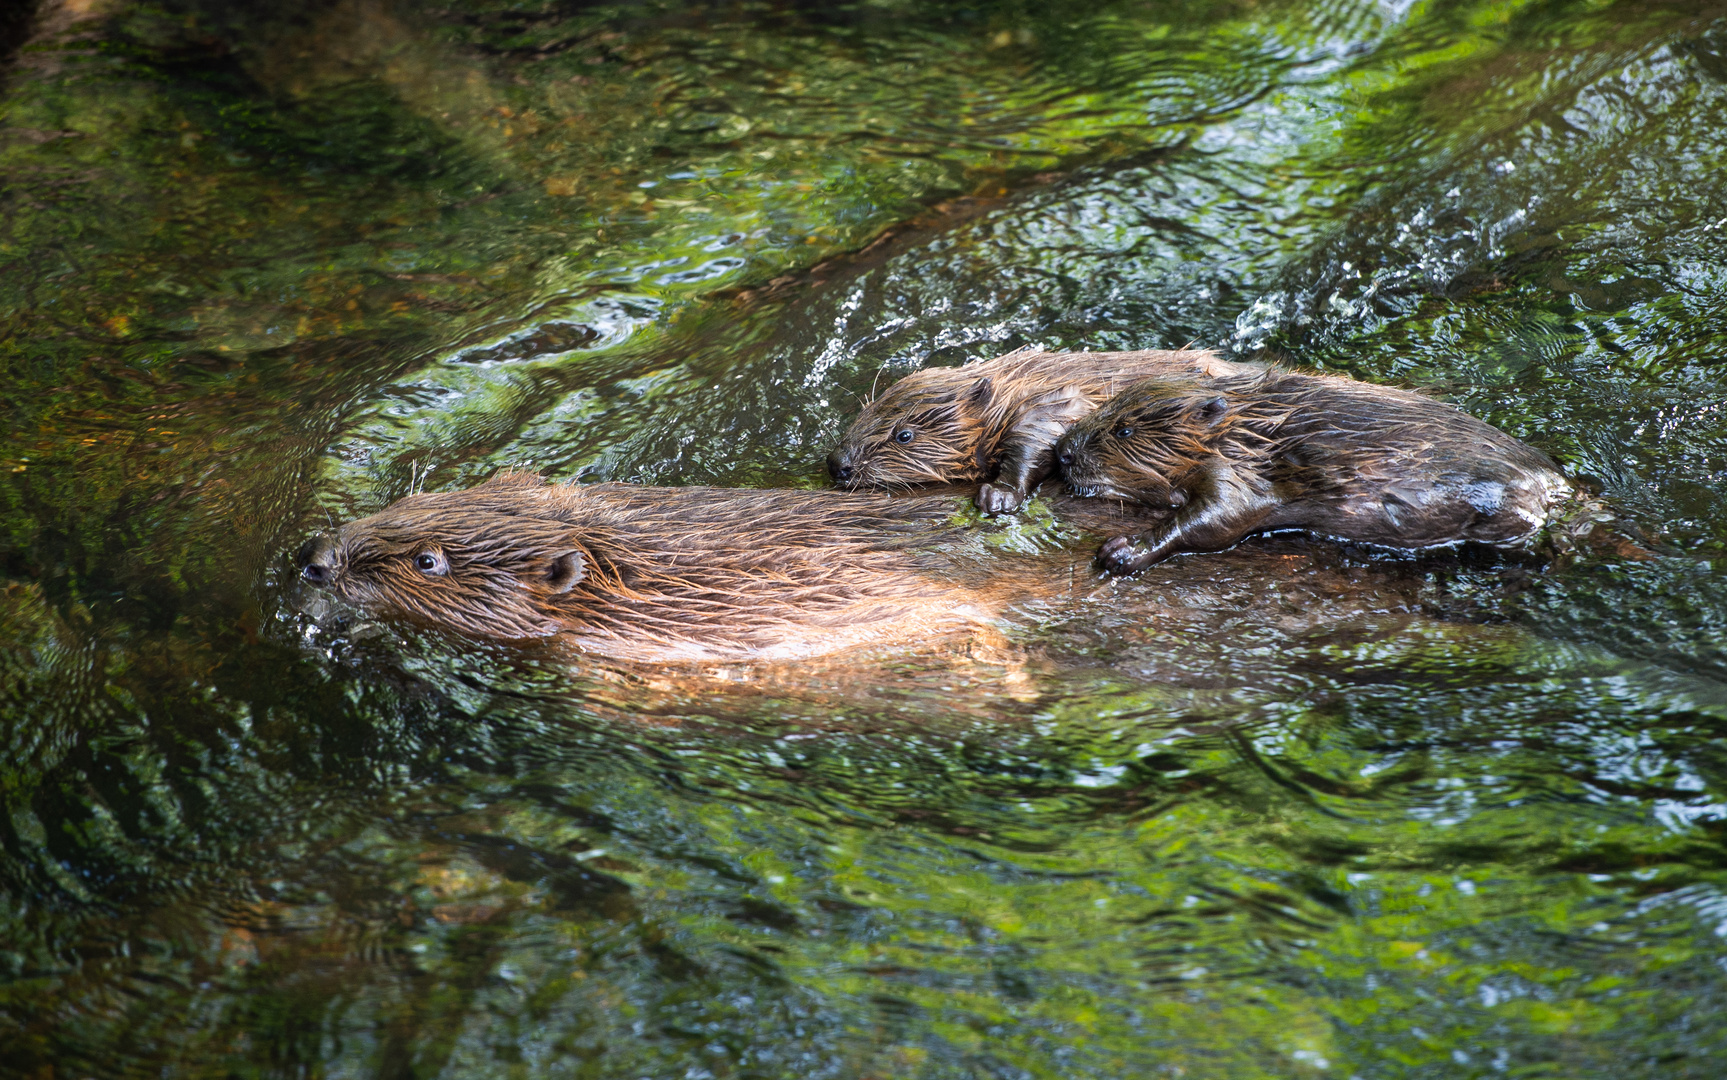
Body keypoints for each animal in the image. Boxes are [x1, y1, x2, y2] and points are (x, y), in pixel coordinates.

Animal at [825, 347, 1257, 511]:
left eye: (904, 435)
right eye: (865, 410)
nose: (837, 464)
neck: (1012, 386)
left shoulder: (1057, 401)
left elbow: (1035, 440)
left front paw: (998, 496)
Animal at [1050, 368, 1581, 573]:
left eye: (1123, 430)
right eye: (1106, 405)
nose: (1063, 453)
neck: (1253, 428)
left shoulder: (1245, 475)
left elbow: (1219, 520)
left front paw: (1121, 551)